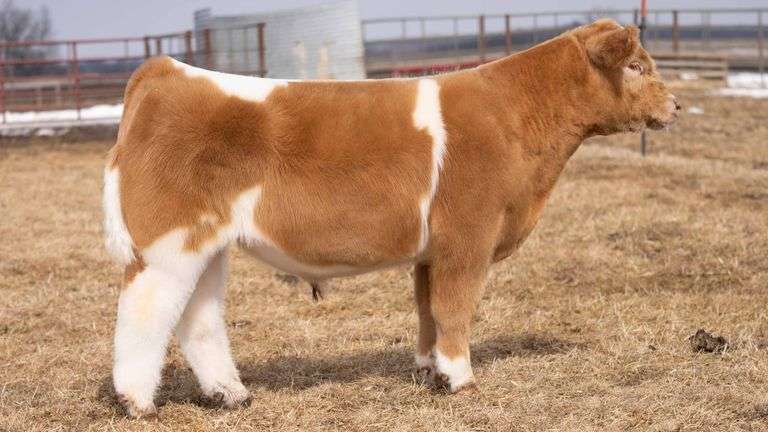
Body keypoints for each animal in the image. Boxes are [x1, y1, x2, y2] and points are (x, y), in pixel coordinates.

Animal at [103, 19, 679, 418]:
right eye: (636, 66)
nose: (675, 104)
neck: (514, 118)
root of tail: (165, 71)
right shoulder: (467, 237)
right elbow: (454, 309)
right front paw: (461, 378)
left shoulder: (431, 251)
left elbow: (426, 309)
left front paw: (430, 371)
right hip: (170, 242)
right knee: (145, 312)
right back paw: (138, 403)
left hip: (208, 245)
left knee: (197, 317)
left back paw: (232, 395)